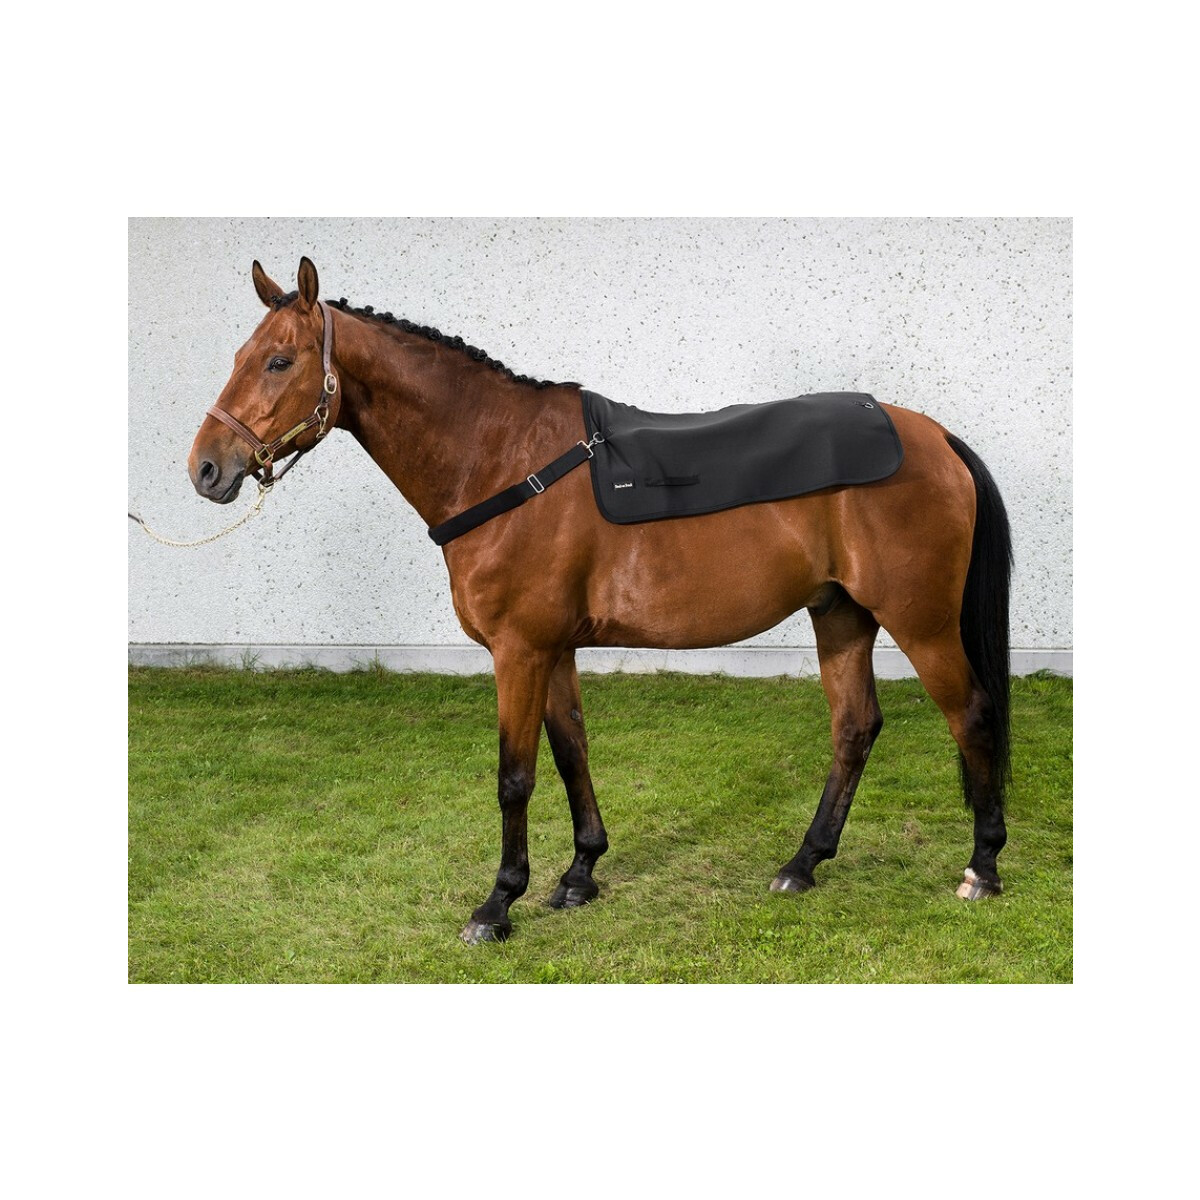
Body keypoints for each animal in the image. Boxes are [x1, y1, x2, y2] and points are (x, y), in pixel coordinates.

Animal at [187, 257, 1013, 944]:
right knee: (855, 728)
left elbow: (515, 776)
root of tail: (935, 437)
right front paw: (580, 874)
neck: (501, 459)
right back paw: (803, 863)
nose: (205, 468)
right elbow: (570, 751)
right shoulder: (552, 649)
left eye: (279, 360)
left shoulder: (519, 650)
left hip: (920, 623)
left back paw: (983, 867)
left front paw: (498, 904)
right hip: (840, 614)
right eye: (237, 357)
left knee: (970, 716)